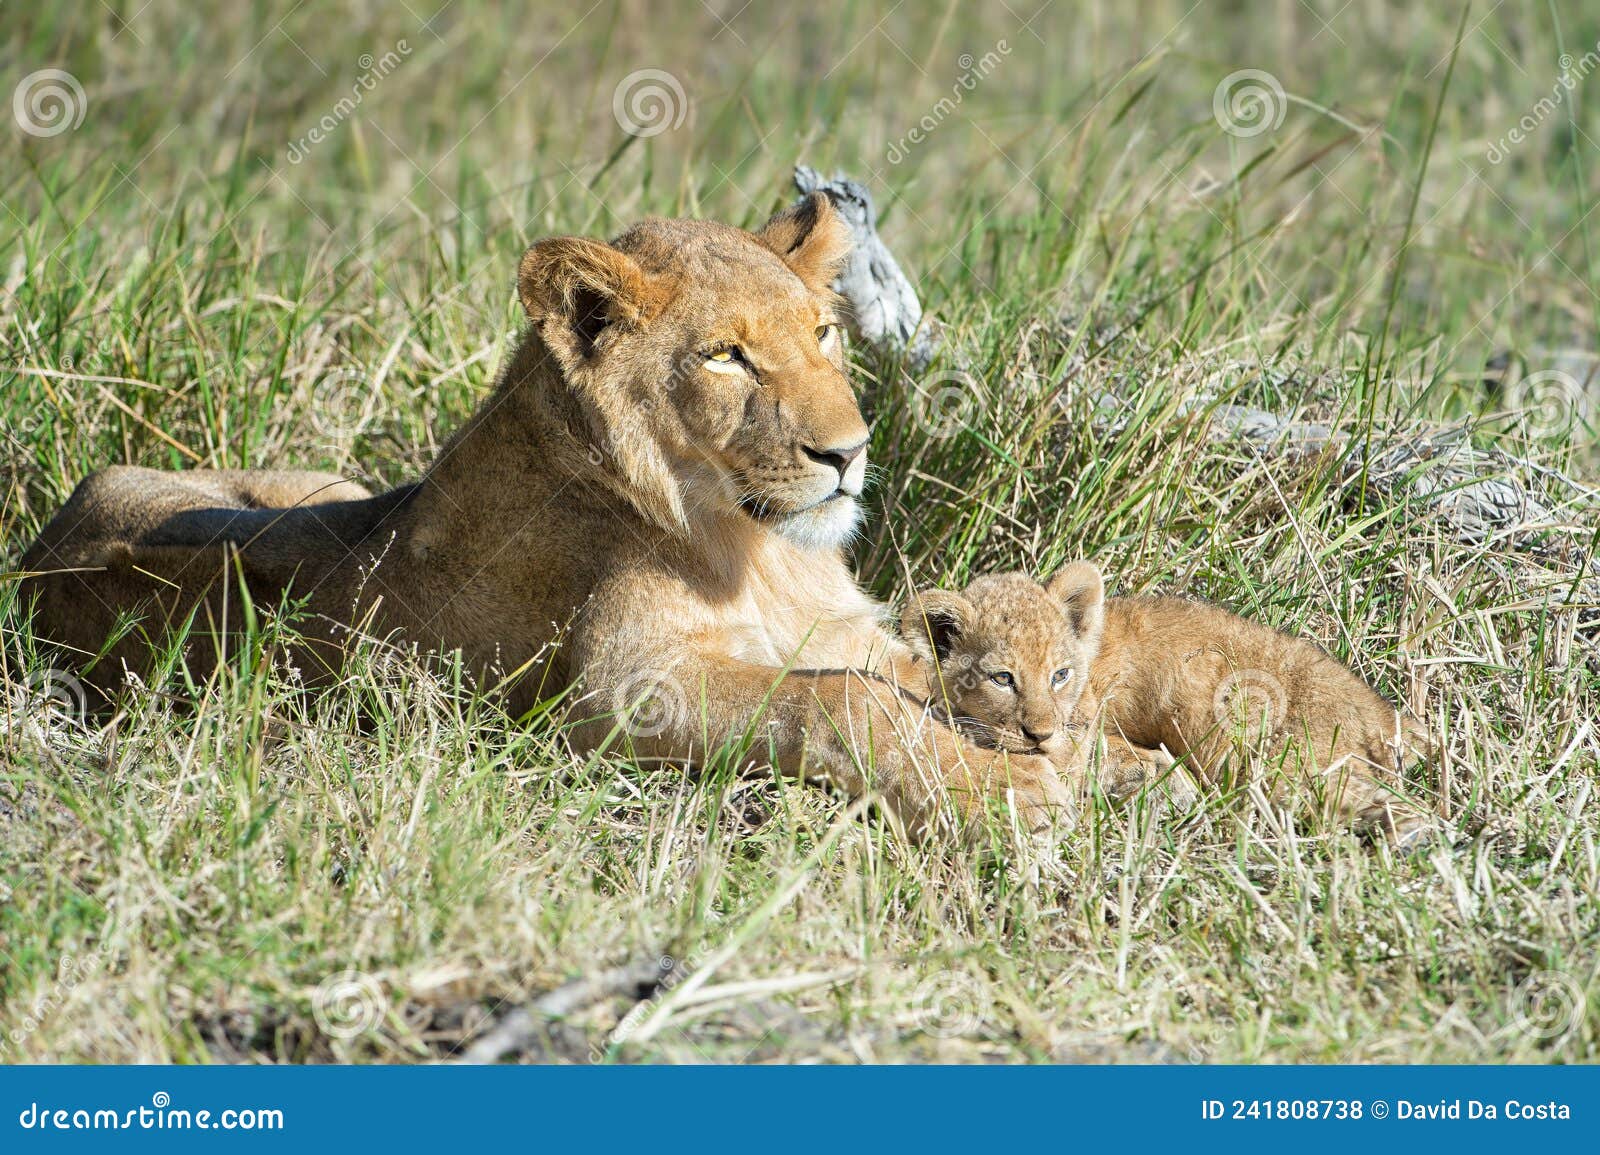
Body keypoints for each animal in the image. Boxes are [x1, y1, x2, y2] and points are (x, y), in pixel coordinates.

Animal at [17, 195, 1069, 842]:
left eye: (820, 335)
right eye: (726, 355)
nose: (847, 453)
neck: (759, 546)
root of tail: (39, 549)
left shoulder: (842, 626)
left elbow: (923, 671)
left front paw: (1076, 740)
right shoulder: (621, 690)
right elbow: (842, 700)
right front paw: (1011, 789)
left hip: (315, 487)